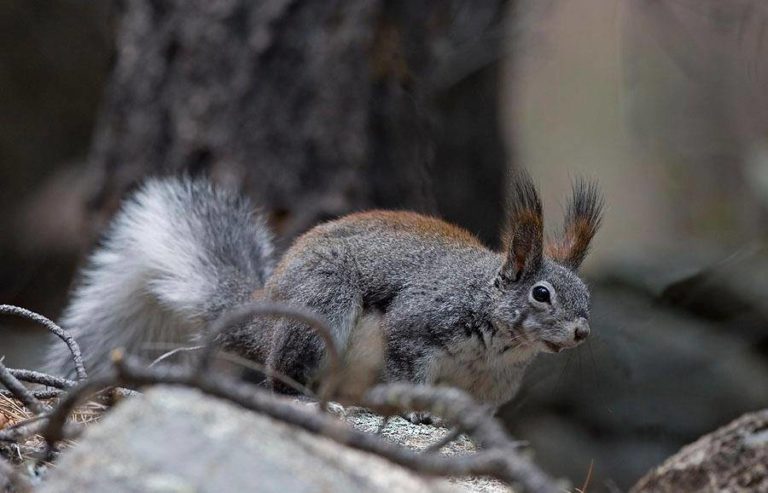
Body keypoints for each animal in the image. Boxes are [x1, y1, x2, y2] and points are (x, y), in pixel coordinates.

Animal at [46, 173, 602, 419]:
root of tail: (264, 316)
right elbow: (405, 368)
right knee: (280, 380)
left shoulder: (488, 392)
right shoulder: (416, 325)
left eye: (586, 297)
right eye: (542, 294)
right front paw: (414, 411)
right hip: (322, 307)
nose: (582, 333)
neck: (500, 345)